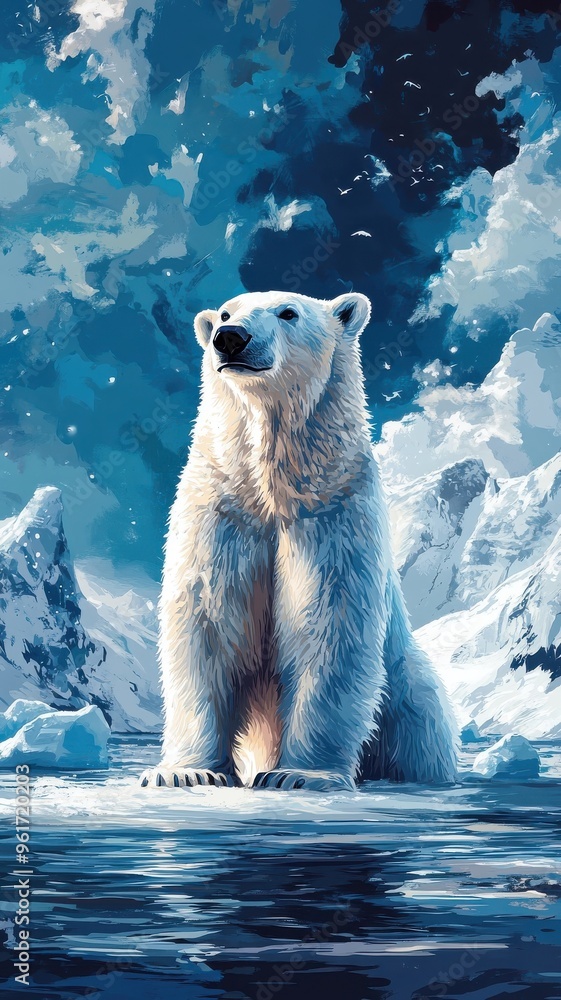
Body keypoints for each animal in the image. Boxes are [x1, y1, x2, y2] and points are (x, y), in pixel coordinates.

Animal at [140, 290, 457, 792]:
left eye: (288, 312)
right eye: (225, 313)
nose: (230, 338)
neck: (275, 489)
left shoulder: (331, 515)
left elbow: (328, 622)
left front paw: (299, 775)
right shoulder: (223, 512)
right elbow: (206, 622)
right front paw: (185, 772)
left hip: (408, 691)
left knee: (420, 729)